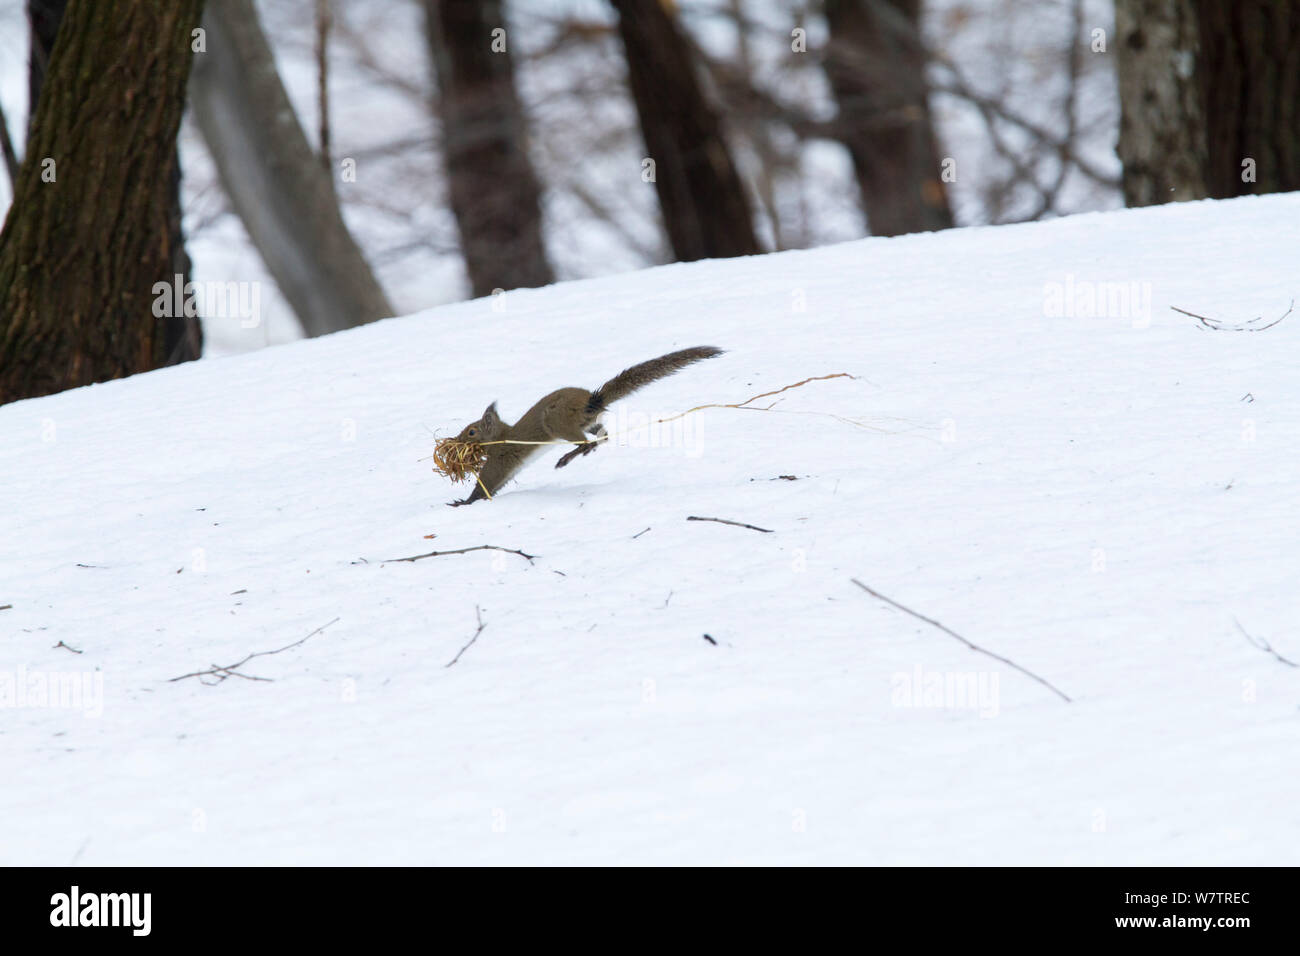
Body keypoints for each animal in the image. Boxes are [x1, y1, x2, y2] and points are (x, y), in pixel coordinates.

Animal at [448, 346, 723, 505]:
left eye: (471, 431)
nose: (456, 440)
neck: (500, 435)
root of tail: (592, 400)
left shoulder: (501, 458)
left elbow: (487, 483)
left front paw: (464, 502)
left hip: (557, 421)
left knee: (584, 442)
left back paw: (566, 458)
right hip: (589, 423)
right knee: (601, 437)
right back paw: (583, 451)